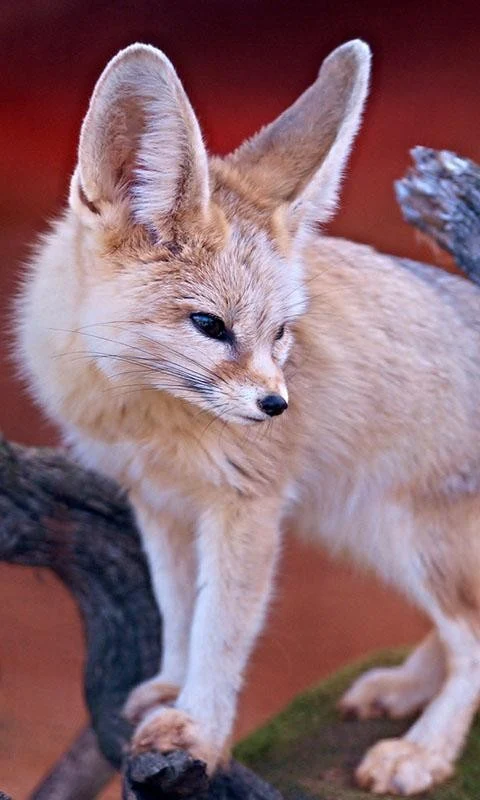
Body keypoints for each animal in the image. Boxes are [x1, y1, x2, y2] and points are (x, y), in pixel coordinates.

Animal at [14, 38, 480, 795]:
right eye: (209, 325)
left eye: (281, 333)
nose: (275, 406)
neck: (147, 417)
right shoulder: (157, 502)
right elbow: (178, 610)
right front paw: (169, 687)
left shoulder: (246, 509)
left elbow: (220, 631)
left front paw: (197, 726)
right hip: (374, 534)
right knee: (455, 632)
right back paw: (405, 687)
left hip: (412, 540)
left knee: (472, 641)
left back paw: (423, 750)